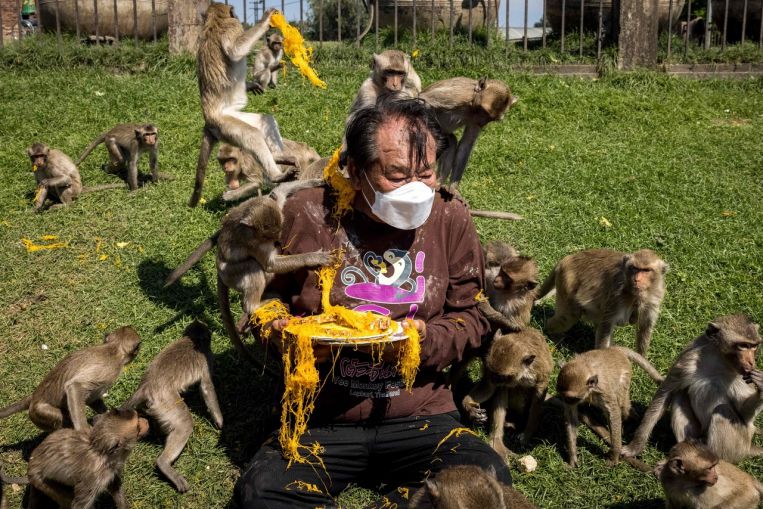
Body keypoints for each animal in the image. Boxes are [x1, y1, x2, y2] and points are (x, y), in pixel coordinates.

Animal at [122, 320, 224, 490]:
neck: (193, 341)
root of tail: (146, 386)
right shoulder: (207, 359)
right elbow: (207, 387)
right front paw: (219, 420)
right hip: (166, 402)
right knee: (185, 423)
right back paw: (164, 463)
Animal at [166, 179, 332, 366]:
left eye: (277, 233)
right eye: (267, 237)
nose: (277, 242)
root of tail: (220, 270)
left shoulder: (275, 205)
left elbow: (282, 189)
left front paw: (320, 180)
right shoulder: (254, 243)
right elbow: (269, 265)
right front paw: (312, 258)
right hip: (231, 274)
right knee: (253, 267)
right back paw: (254, 305)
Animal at [190, 3, 300, 206]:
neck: (213, 21)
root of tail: (208, 122)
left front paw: (251, 85)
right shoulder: (231, 27)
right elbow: (235, 50)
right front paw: (265, 21)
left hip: (231, 117)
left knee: (265, 120)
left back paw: (278, 157)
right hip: (225, 125)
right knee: (252, 135)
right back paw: (276, 175)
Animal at [536, 248, 668, 356]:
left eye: (646, 270)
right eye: (634, 268)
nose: (637, 279)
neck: (636, 294)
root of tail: (566, 259)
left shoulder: (654, 298)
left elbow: (645, 327)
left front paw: (640, 361)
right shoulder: (616, 295)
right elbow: (606, 325)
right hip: (567, 283)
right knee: (569, 317)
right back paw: (551, 332)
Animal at [624, 312, 763, 462]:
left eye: (754, 346)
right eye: (743, 346)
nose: (751, 362)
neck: (718, 359)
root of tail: (748, 448)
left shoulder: (741, 377)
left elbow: (744, 416)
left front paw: (761, 388)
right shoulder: (688, 361)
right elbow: (665, 394)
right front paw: (636, 446)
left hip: (738, 445)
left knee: (723, 410)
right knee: (680, 394)